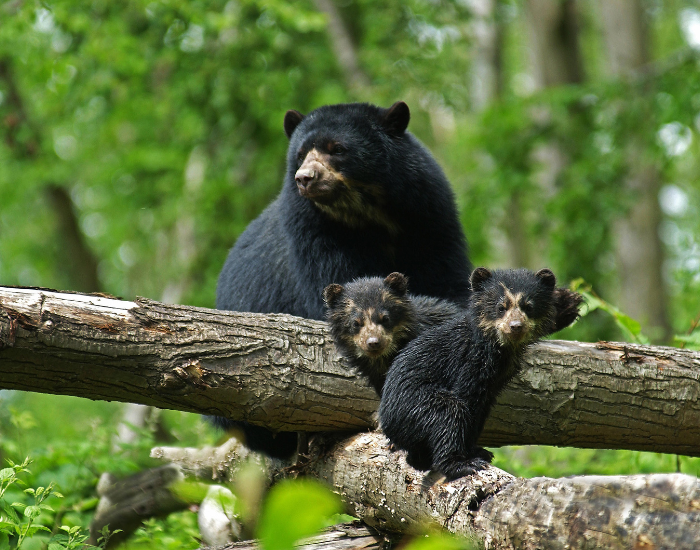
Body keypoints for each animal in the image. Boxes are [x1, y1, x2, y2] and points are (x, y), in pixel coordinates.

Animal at [379, 267, 583, 481]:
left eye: (528, 306)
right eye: (501, 307)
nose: (516, 326)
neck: (500, 347)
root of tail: (387, 422)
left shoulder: (497, 379)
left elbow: (482, 409)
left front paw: (478, 449)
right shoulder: (472, 361)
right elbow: (467, 398)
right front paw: (470, 455)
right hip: (413, 406)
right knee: (449, 412)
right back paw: (460, 464)